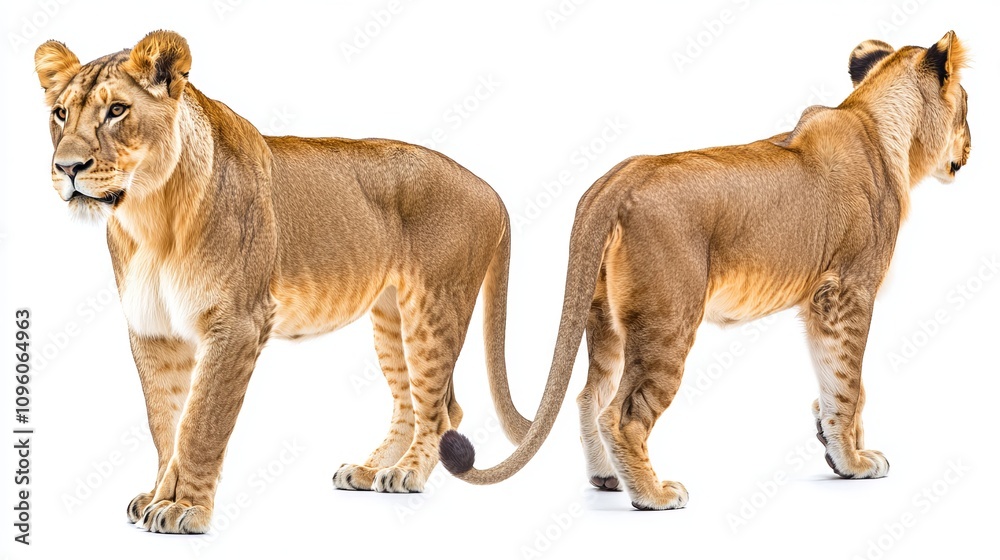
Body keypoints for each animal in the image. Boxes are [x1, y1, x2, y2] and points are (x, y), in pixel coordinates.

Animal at [34, 30, 531, 533]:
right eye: (61, 113)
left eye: (117, 110)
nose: (67, 168)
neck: (150, 216)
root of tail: (489, 188)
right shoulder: (152, 330)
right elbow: (165, 424)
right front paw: (157, 495)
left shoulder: (237, 323)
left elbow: (200, 423)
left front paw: (184, 508)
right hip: (391, 314)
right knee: (411, 403)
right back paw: (369, 470)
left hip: (433, 309)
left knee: (442, 408)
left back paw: (406, 472)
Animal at [440, 31, 971, 510]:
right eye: (968, 107)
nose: (970, 150)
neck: (882, 128)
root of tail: (615, 182)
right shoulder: (847, 292)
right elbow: (847, 382)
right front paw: (855, 462)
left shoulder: (820, 303)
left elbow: (837, 382)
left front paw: (831, 444)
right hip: (668, 322)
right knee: (621, 414)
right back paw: (652, 495)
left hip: (604, 319)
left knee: (590, 397)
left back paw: (607, 478)